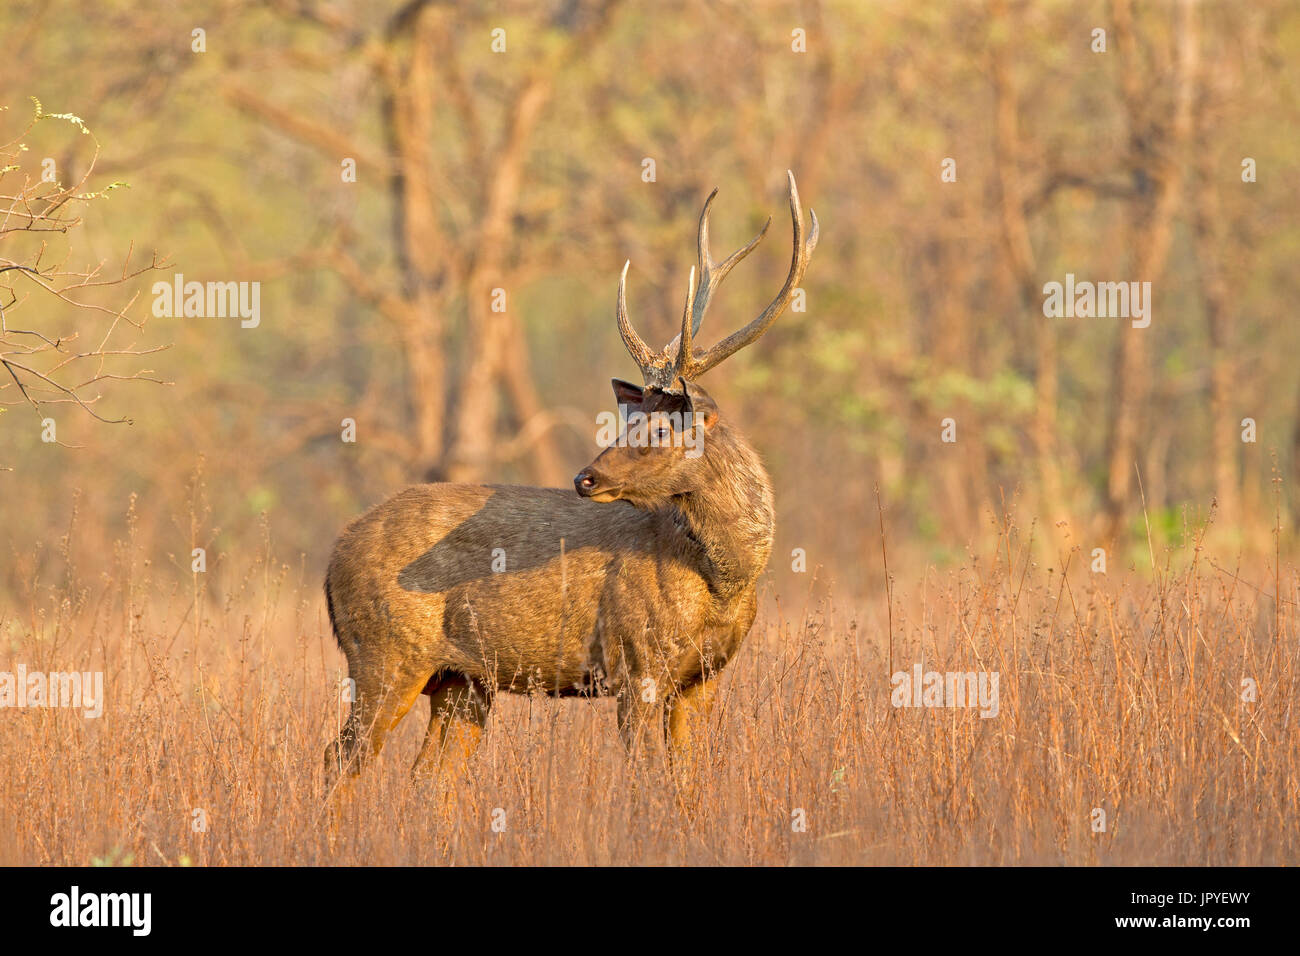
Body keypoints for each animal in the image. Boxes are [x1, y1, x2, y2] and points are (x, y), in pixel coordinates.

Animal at [324, 171, 818, 787]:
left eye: (664, 427)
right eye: (630, 416)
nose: (586, 477)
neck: (722, 582)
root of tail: (331, 561)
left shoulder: (701, 679)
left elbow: (685, 780)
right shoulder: (637, 662)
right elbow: (646, 778)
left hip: (463, 679)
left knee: (429, 774)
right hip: (384, 653)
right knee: (341, 758)